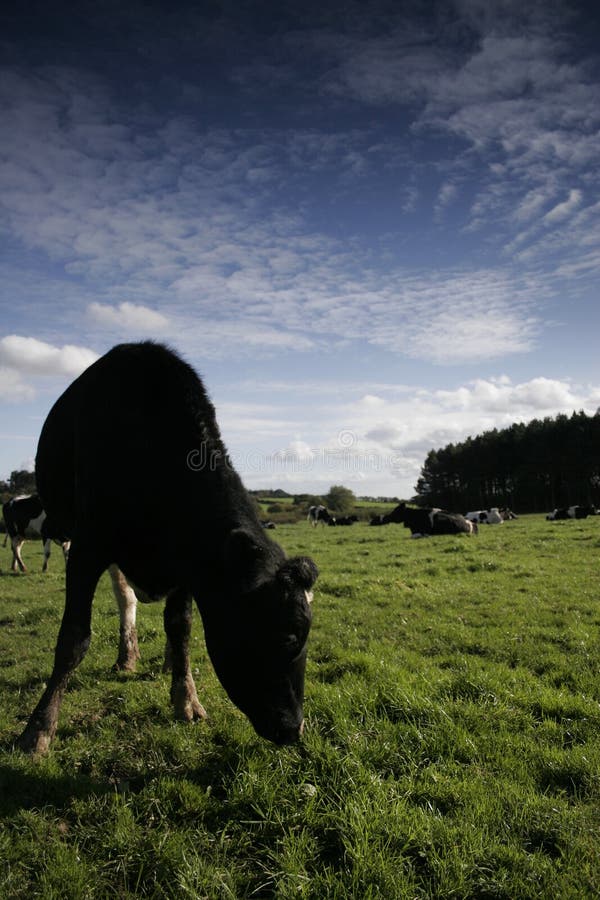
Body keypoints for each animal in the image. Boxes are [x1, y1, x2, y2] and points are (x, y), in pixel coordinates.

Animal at [17, 342, 318, 755]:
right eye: (289, 636)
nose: (294, 730)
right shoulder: (87, 546)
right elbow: (74, 638)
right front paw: (39, 729)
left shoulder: (188, 566)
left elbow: (182, 627)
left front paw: (186, 697)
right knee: (124, 598)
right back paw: (127, 656)